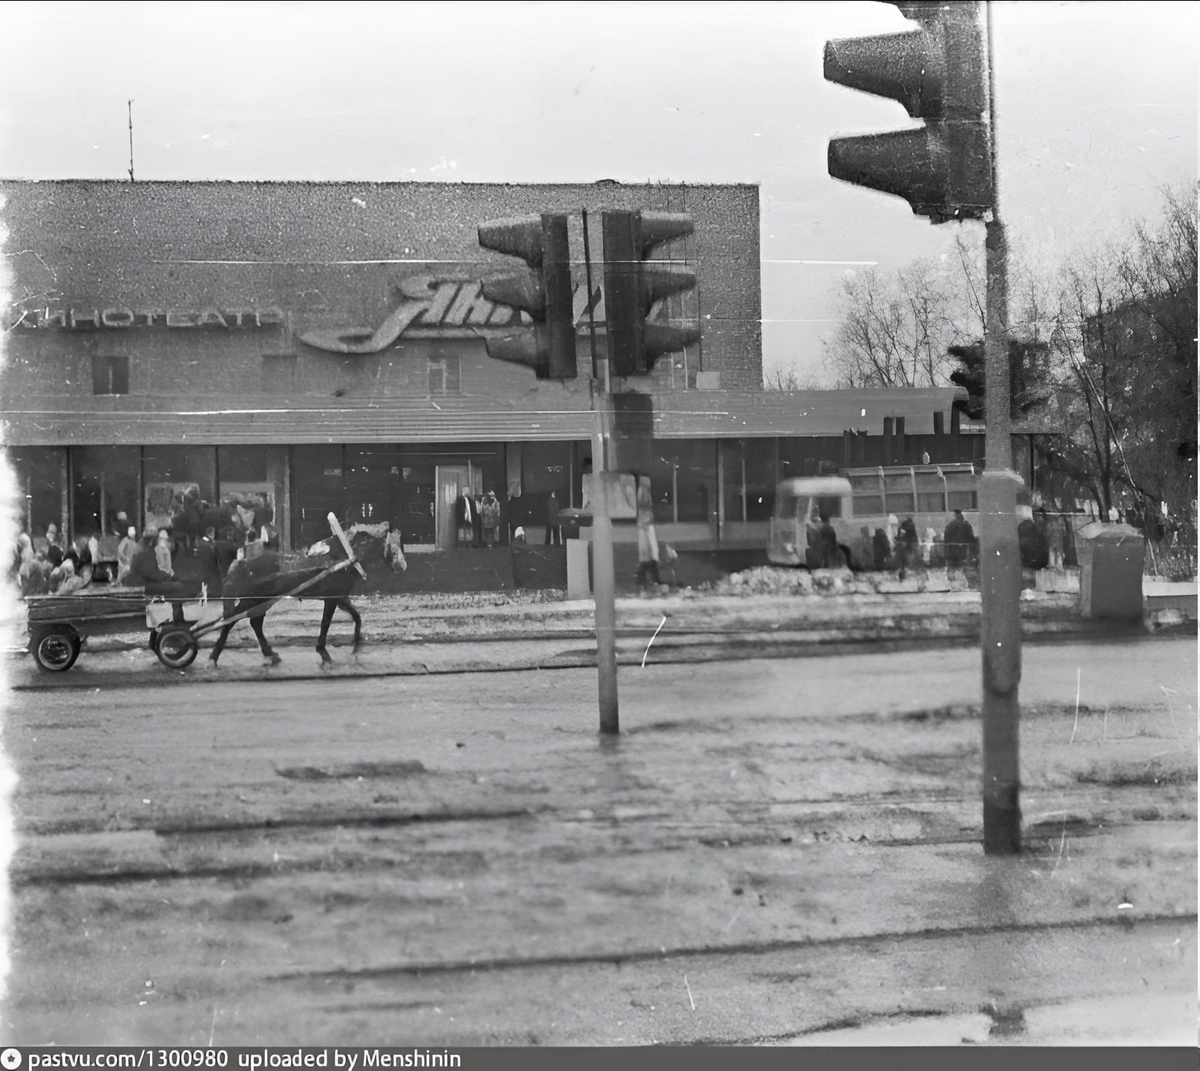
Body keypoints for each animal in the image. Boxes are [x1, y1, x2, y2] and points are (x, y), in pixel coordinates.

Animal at [205, 521, 408, 667]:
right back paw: (213, 658)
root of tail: (239, 565)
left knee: (255, 623)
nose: (403, 567)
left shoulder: (340, 597)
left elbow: (356, 616)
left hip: (263, 601)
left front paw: (356, 642)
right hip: (250, 601)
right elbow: (326, 623)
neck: (344, 557)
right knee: (230, 621)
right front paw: (323, 653)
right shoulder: (331, 598)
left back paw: (270, 654)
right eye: (395, 545)